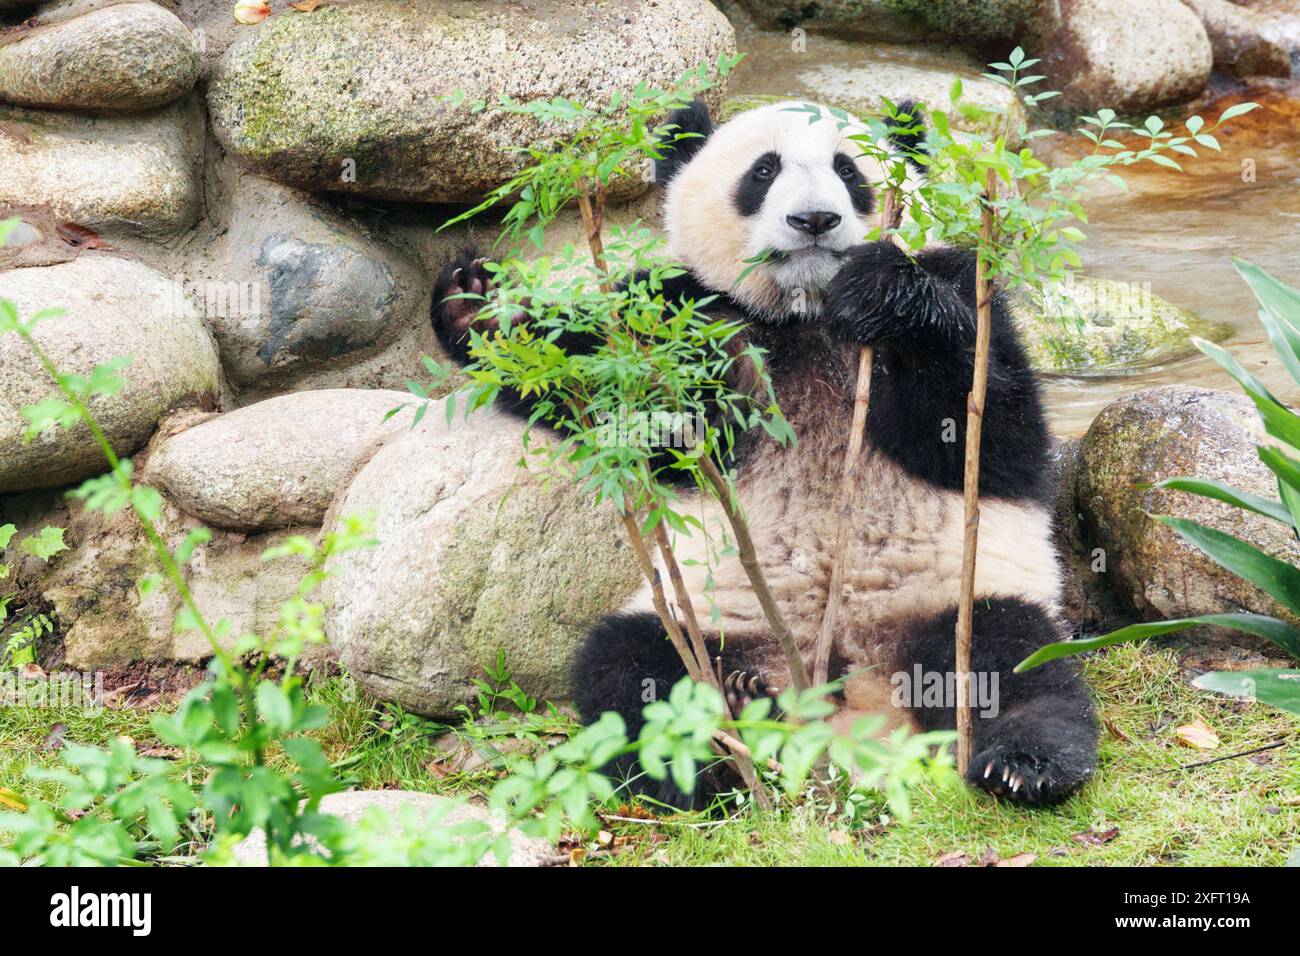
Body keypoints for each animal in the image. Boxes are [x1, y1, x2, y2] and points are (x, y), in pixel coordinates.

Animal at [431, 99, 1098, 808]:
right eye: (763, 171)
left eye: (848, 170)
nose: (815, 220)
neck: (805, 316)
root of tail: (847, 703)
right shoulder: (678, 317)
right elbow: (600, 393)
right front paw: (480, 310)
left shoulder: (968, 292)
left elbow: (990, 432)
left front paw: (886, 294)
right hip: (708, 621)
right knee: (625, 669)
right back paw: (721, 737)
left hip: (953, 596)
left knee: (1014, 666)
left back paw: (1024, 763)